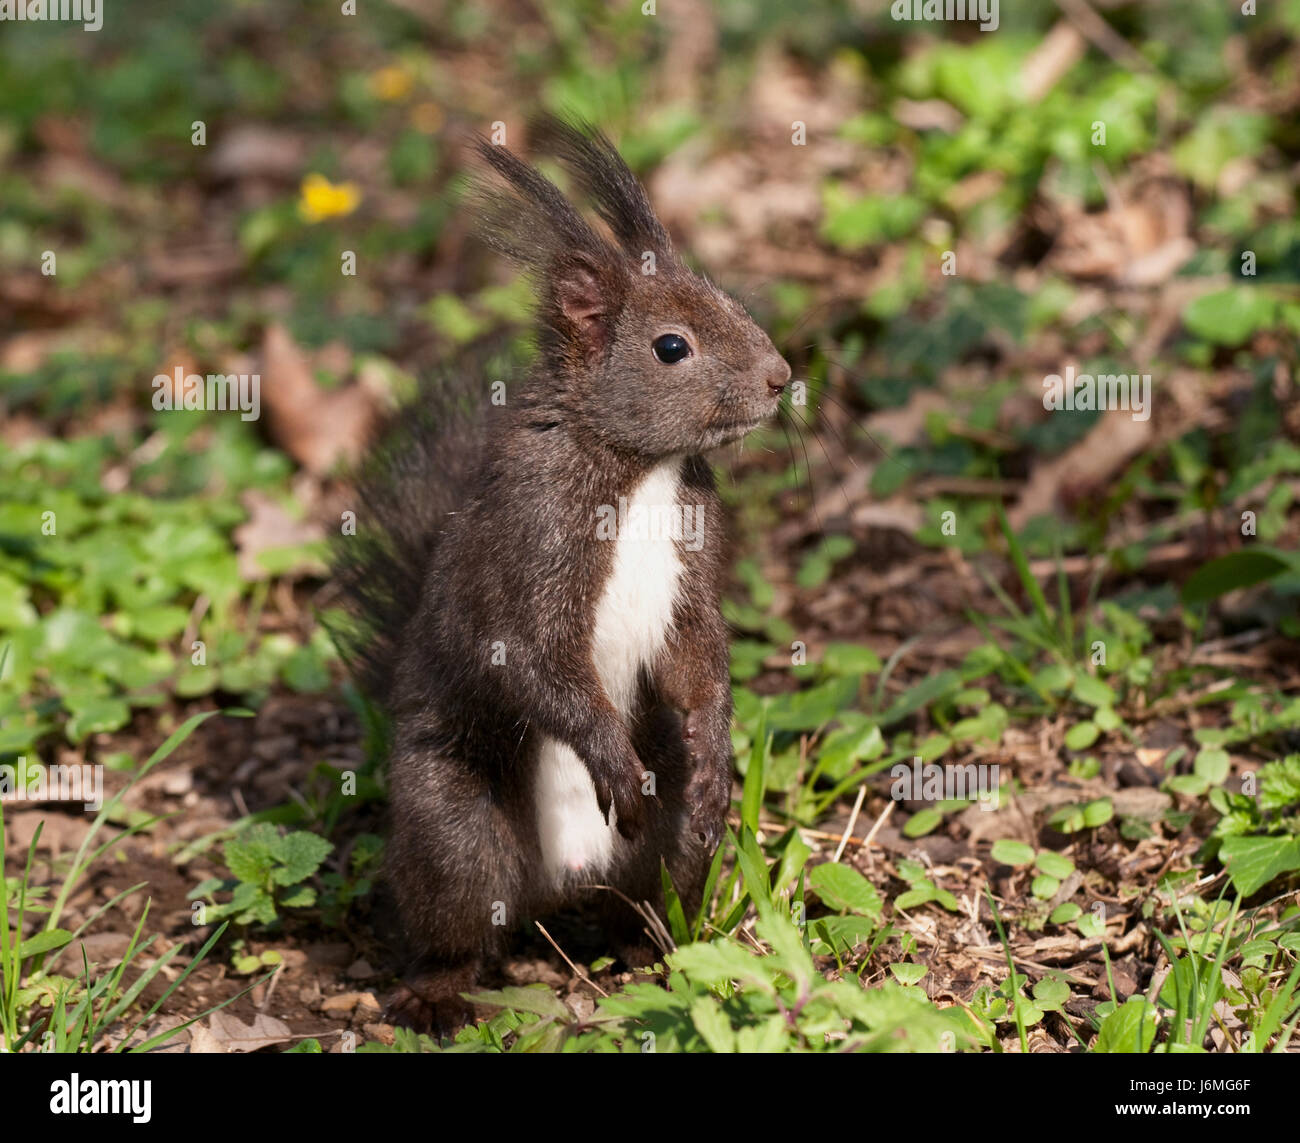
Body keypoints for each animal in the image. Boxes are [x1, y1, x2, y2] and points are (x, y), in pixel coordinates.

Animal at [333, 117, 790, 1034]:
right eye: (671, 347)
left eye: (730, 301)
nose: (781, 379)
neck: (642, 469)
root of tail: (561, 889)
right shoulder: (530, 551)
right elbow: (538, 661)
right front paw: (611, 762)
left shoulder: (691, 574)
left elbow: (698, 658)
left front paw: (715, 752)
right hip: (456, 826)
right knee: (460, 917)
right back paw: (438, 990)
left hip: (669, 855)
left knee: (650, 887)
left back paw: (660, 948)